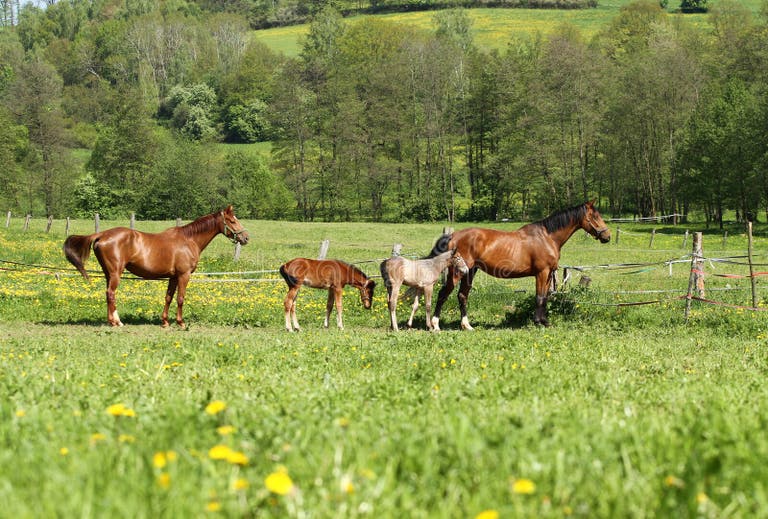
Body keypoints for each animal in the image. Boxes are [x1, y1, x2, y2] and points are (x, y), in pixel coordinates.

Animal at [63, 205, 249, 328]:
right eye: (232, 221)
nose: (246, 237)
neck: (189, 239)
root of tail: (101, 234)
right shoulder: (184, 275)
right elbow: (180, 298)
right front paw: (181, 323)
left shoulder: (173, 277)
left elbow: (168, 298)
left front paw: (165, 321)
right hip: (115, 273)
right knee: (111, 294)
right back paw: (115, 322)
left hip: (108, 273)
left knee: (108, 294)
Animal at [429, 200, 611, 330]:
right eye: (595, 216)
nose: (607, 236)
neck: (547, 237)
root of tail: (453, 235)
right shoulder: (542, 272)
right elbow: (539, 297)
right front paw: (538, 322)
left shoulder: (547, 274)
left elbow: (545, 297)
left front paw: (545, 322)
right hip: (457, 272)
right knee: (443, 294)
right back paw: (435, 325)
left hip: (470, 271)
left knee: (462, 295)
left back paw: (467, 325)